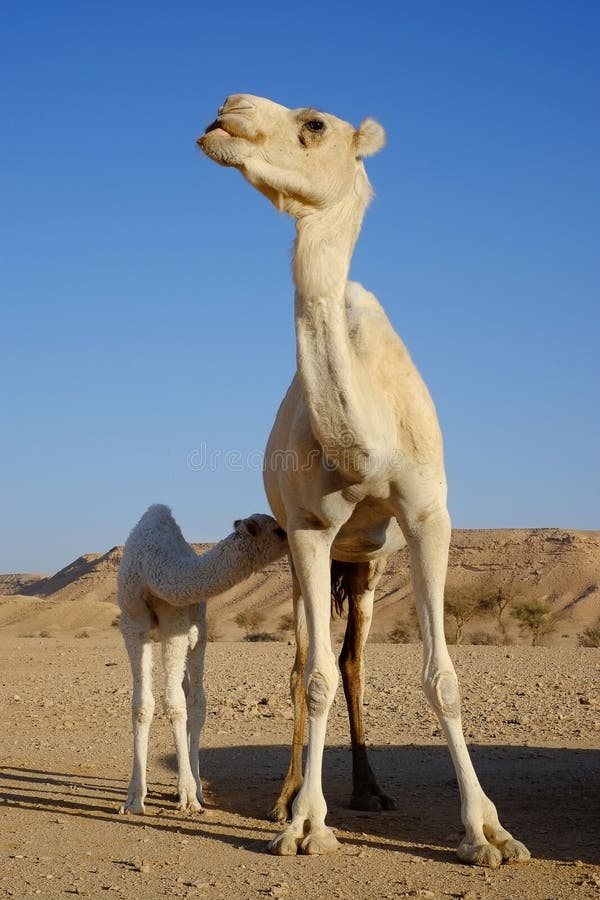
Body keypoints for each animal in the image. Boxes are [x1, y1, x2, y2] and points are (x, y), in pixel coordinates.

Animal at [117, 503, 287, 815]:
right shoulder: (132, 620)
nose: (293, 533)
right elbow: (141, 705)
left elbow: (175, 704)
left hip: (200, 630)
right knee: (187, 694)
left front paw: (187, 795)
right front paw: (134, 798)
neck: (153, 566)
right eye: (278, 530)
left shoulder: (175, 620)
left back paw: (195, 788)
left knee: (196, 702)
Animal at [198, 94, 531, 868]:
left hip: (370, 566)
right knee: (306, 663)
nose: (228, 111)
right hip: (302, 556)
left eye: (314, 124)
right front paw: (305, 825)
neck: (366, 446)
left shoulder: (428, 515)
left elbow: (442, 678)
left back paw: (370, 790)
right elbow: (314, 676)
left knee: (352, 660)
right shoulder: (310, 530)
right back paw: (288, 797)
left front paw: (488, 832)